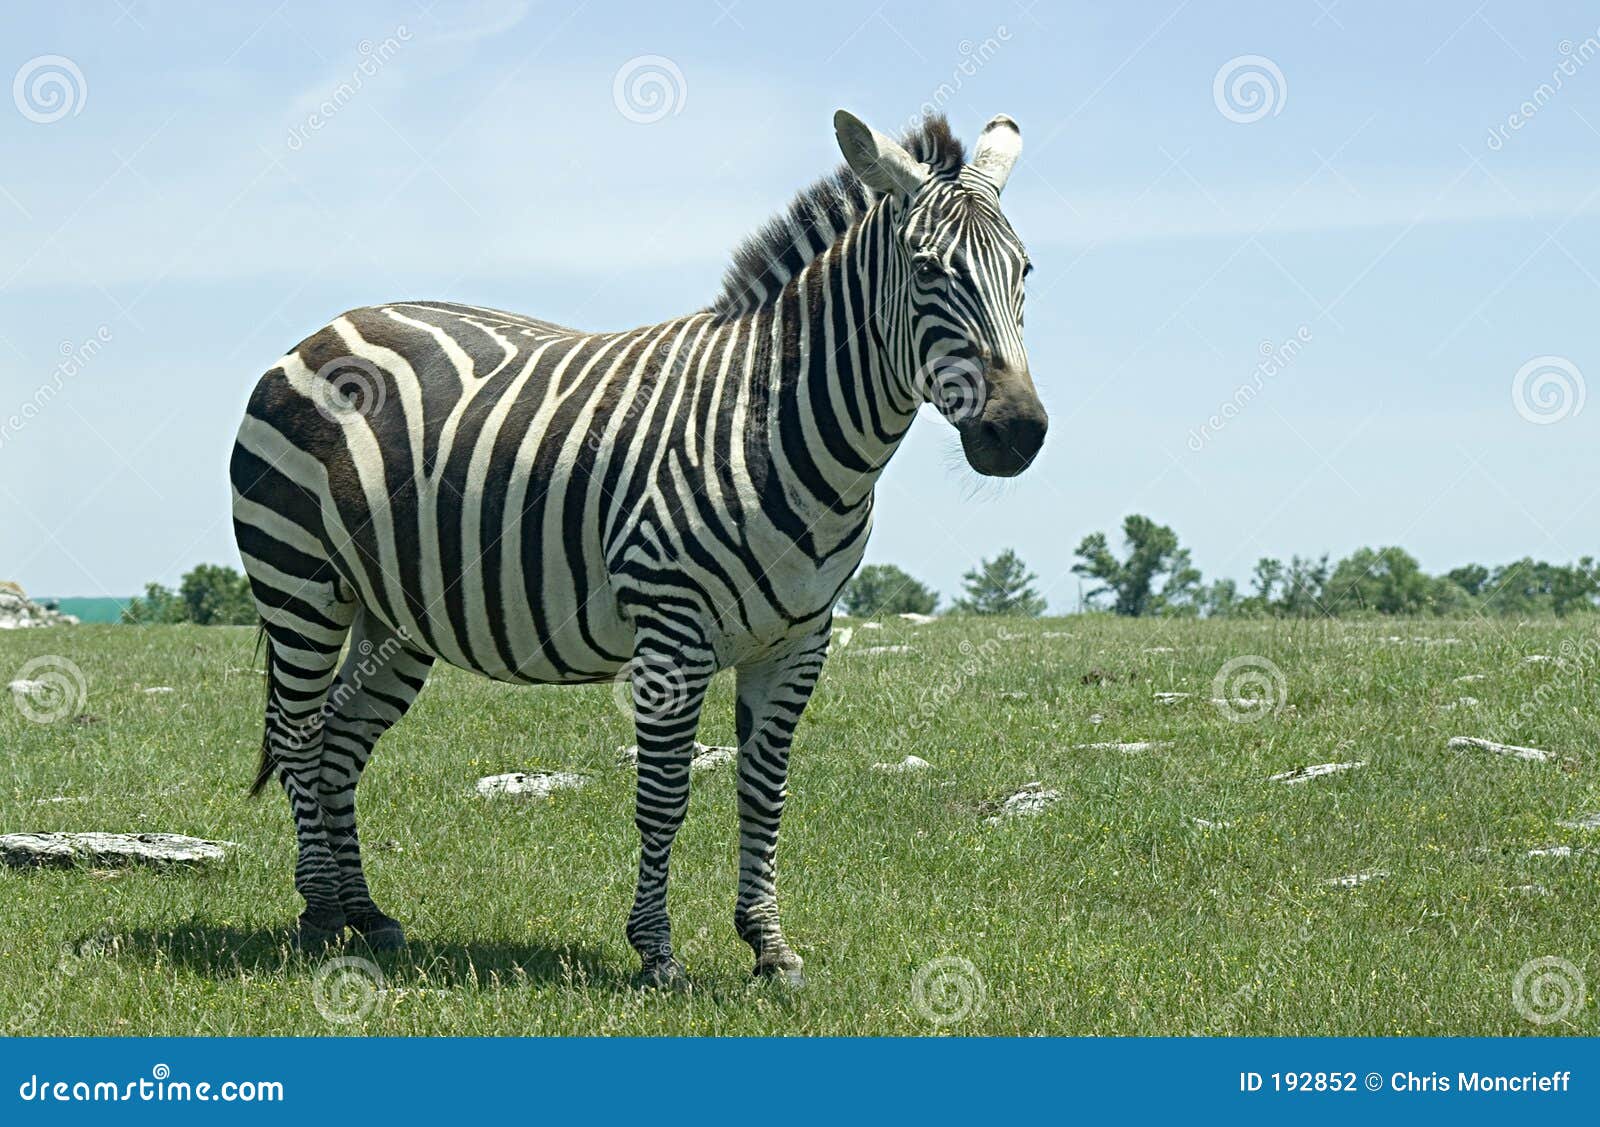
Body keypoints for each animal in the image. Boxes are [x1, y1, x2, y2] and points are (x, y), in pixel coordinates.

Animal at [230, 108, 1046, 987]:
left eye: (1025, 271)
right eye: (930, 272)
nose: (1020, 433)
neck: (778, 424)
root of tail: (324, 329)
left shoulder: (799, 640)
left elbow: (766, 792)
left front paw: (770, 946)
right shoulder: (672, 631)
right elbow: (664, 797)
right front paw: (656, 952)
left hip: (391, 615)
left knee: (339, 747)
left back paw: (365, 913)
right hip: (300, 581)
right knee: (299, 737)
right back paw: (319, 914)